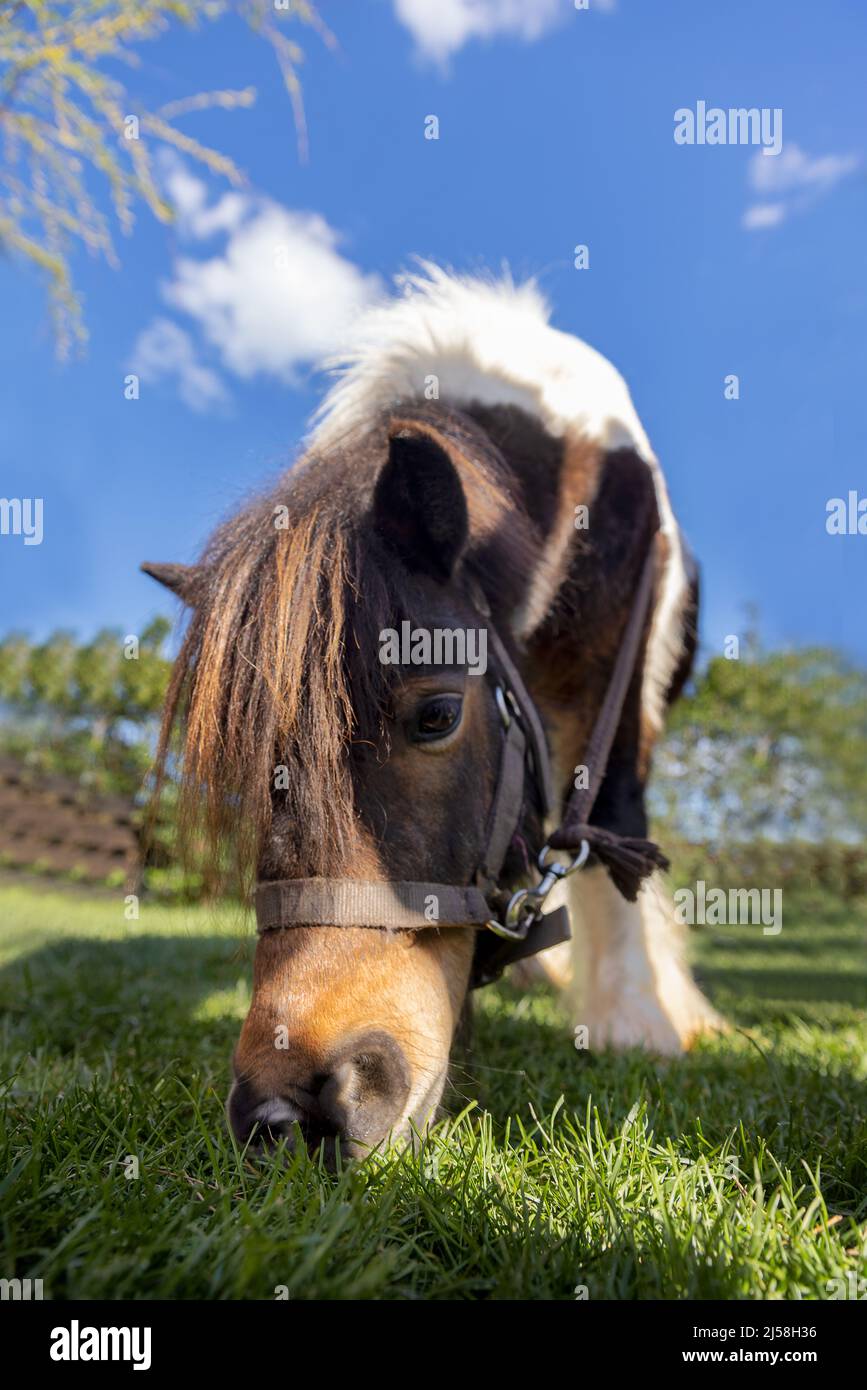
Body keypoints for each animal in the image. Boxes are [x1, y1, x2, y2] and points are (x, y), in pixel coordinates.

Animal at [143, 265, 723, 1160]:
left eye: (437, 716)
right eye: (248, 768)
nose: (286, 1111)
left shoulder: (618, 670)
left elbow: (609, 820)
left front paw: (638, 1021)